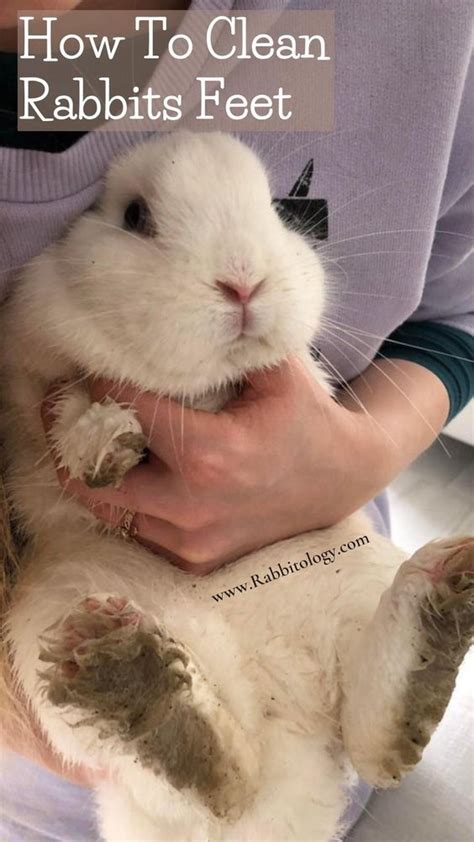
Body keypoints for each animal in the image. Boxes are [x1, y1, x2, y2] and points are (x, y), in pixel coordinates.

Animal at [0, 131, 472, 842]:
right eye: (134, 217)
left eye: (277, 212)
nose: (244, 282)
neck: (199, 391)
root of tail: (287, 724)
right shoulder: (34, 377)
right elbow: (67, 409)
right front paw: (107, 448)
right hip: (51, 617)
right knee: (223, 778)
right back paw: (131, 679)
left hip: (353, 569)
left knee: (368, 731)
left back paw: (441, 607)